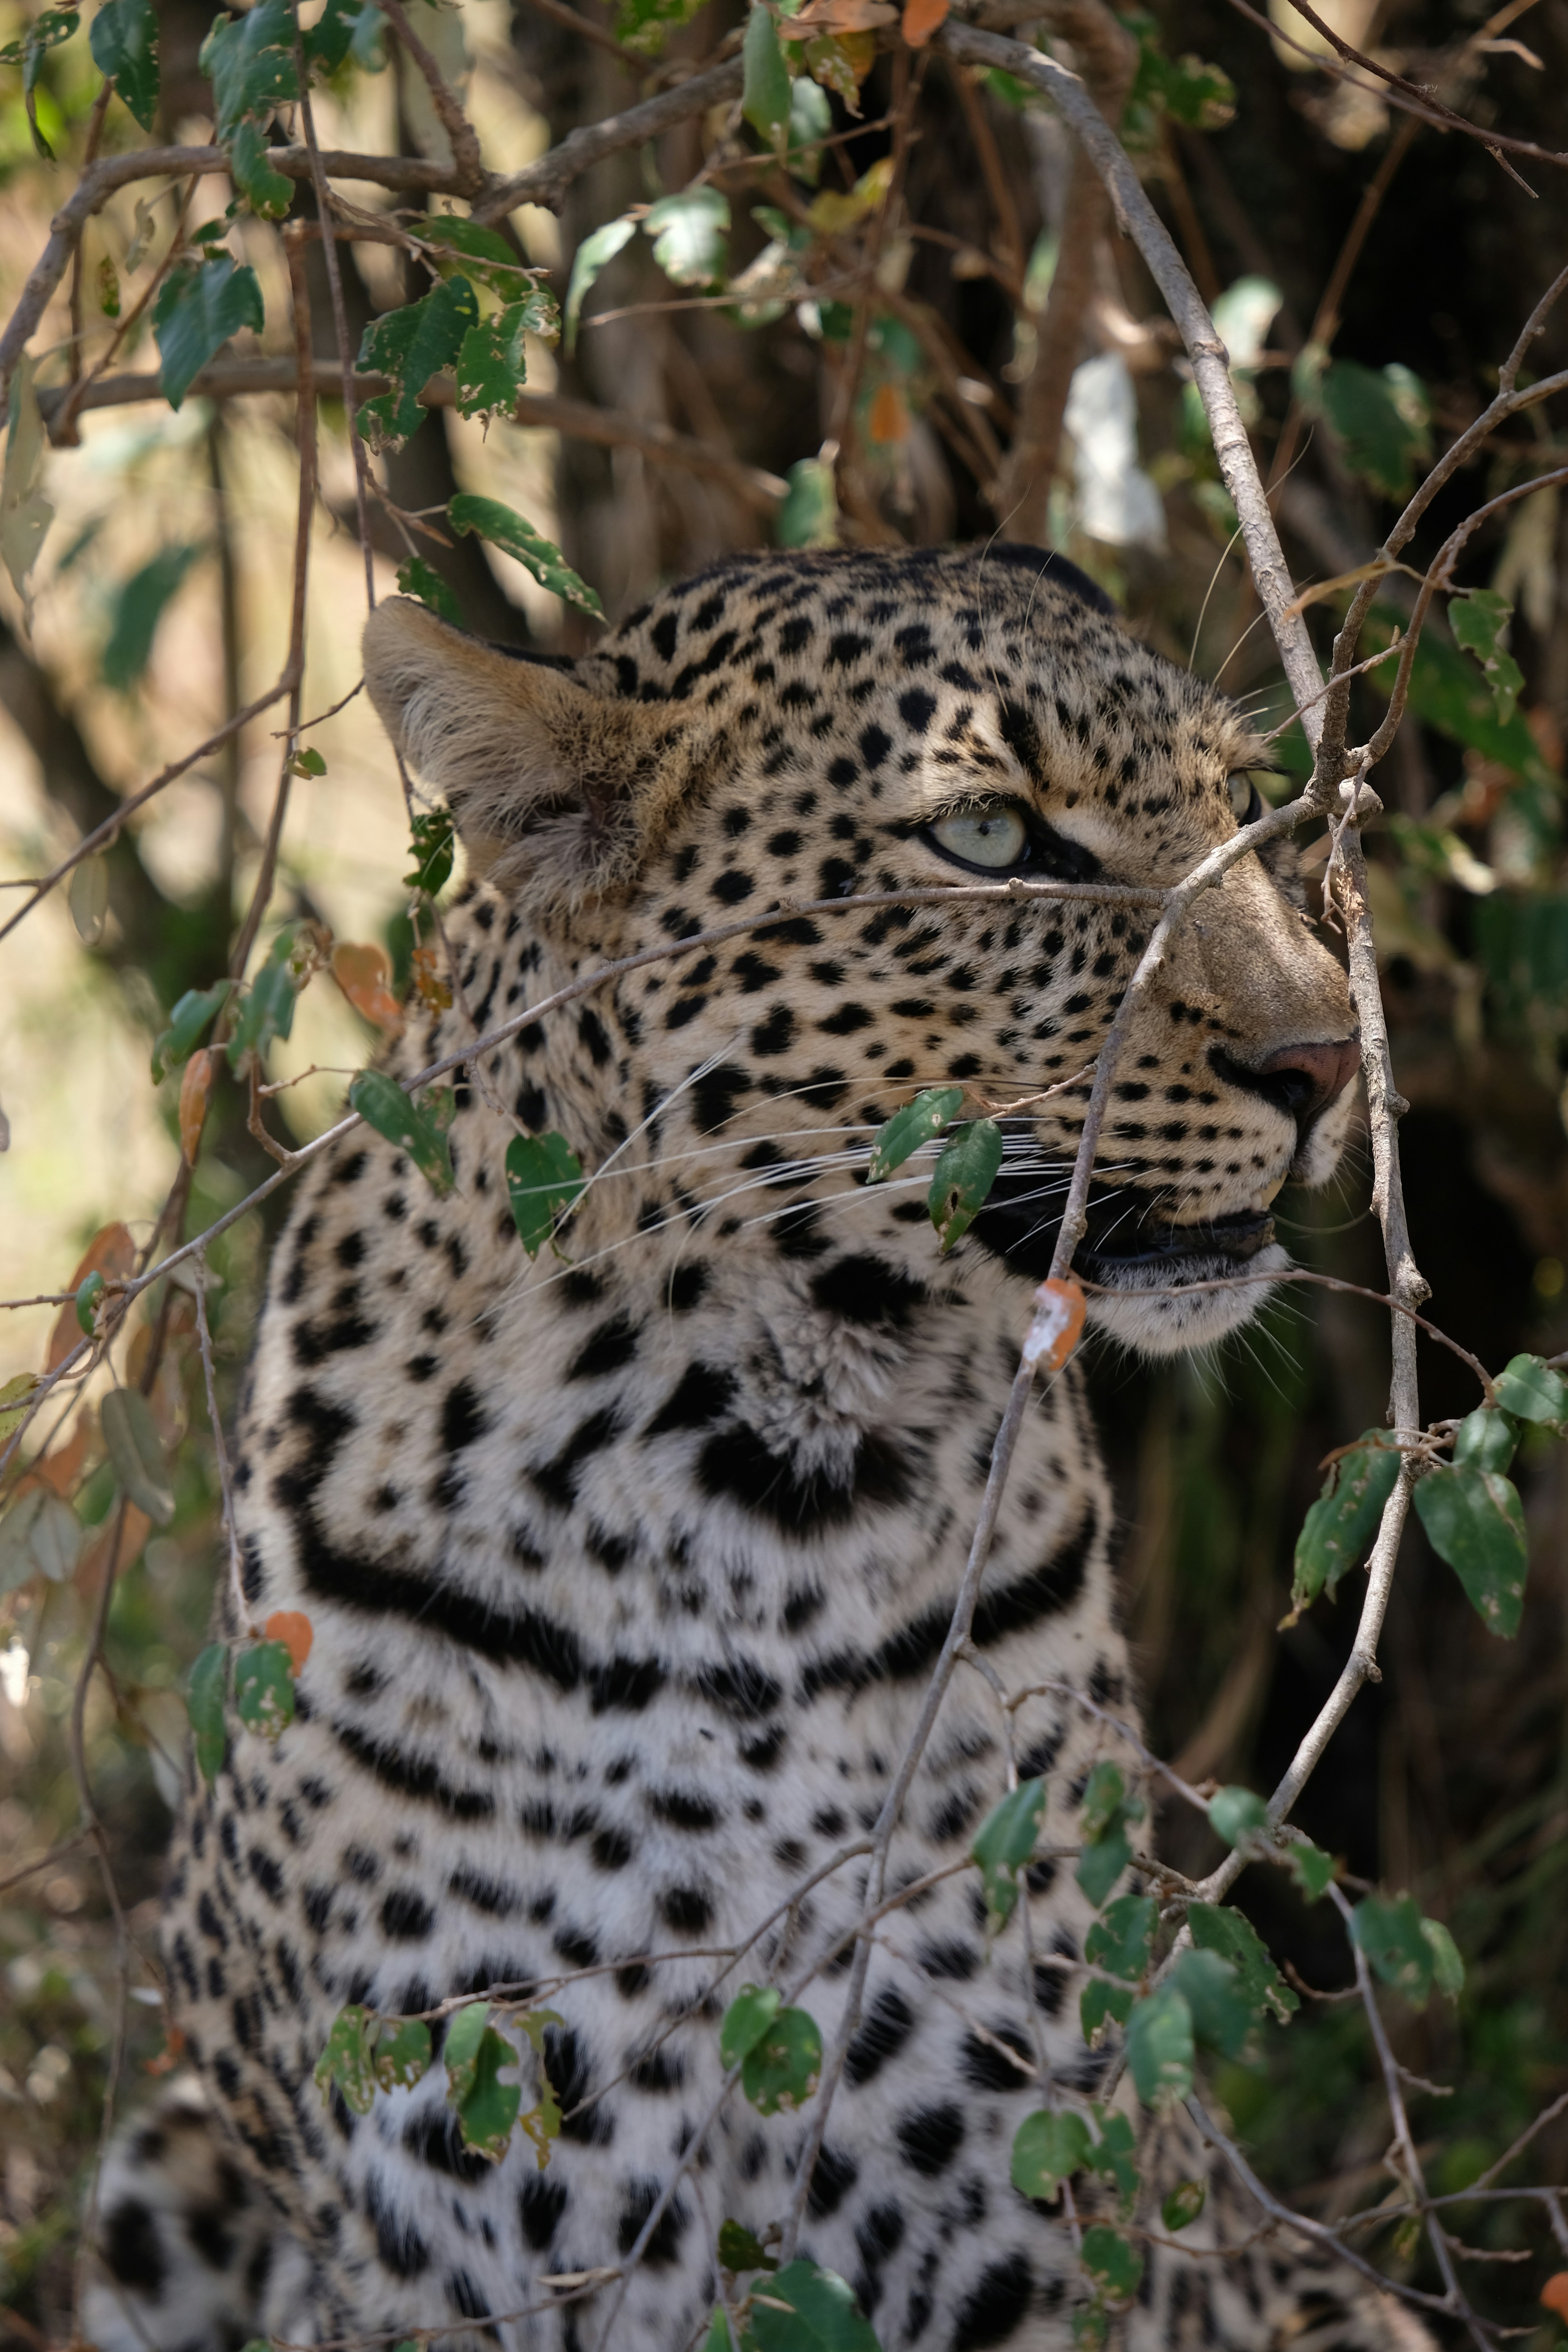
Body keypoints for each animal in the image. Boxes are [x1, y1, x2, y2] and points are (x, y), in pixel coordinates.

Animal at [85, 543, 1428, 2352]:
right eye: (990, 838)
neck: (775, 1484)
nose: (1327, 1057)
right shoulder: (454, 2215)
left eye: (1232, 801)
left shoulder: (1037, 2187)